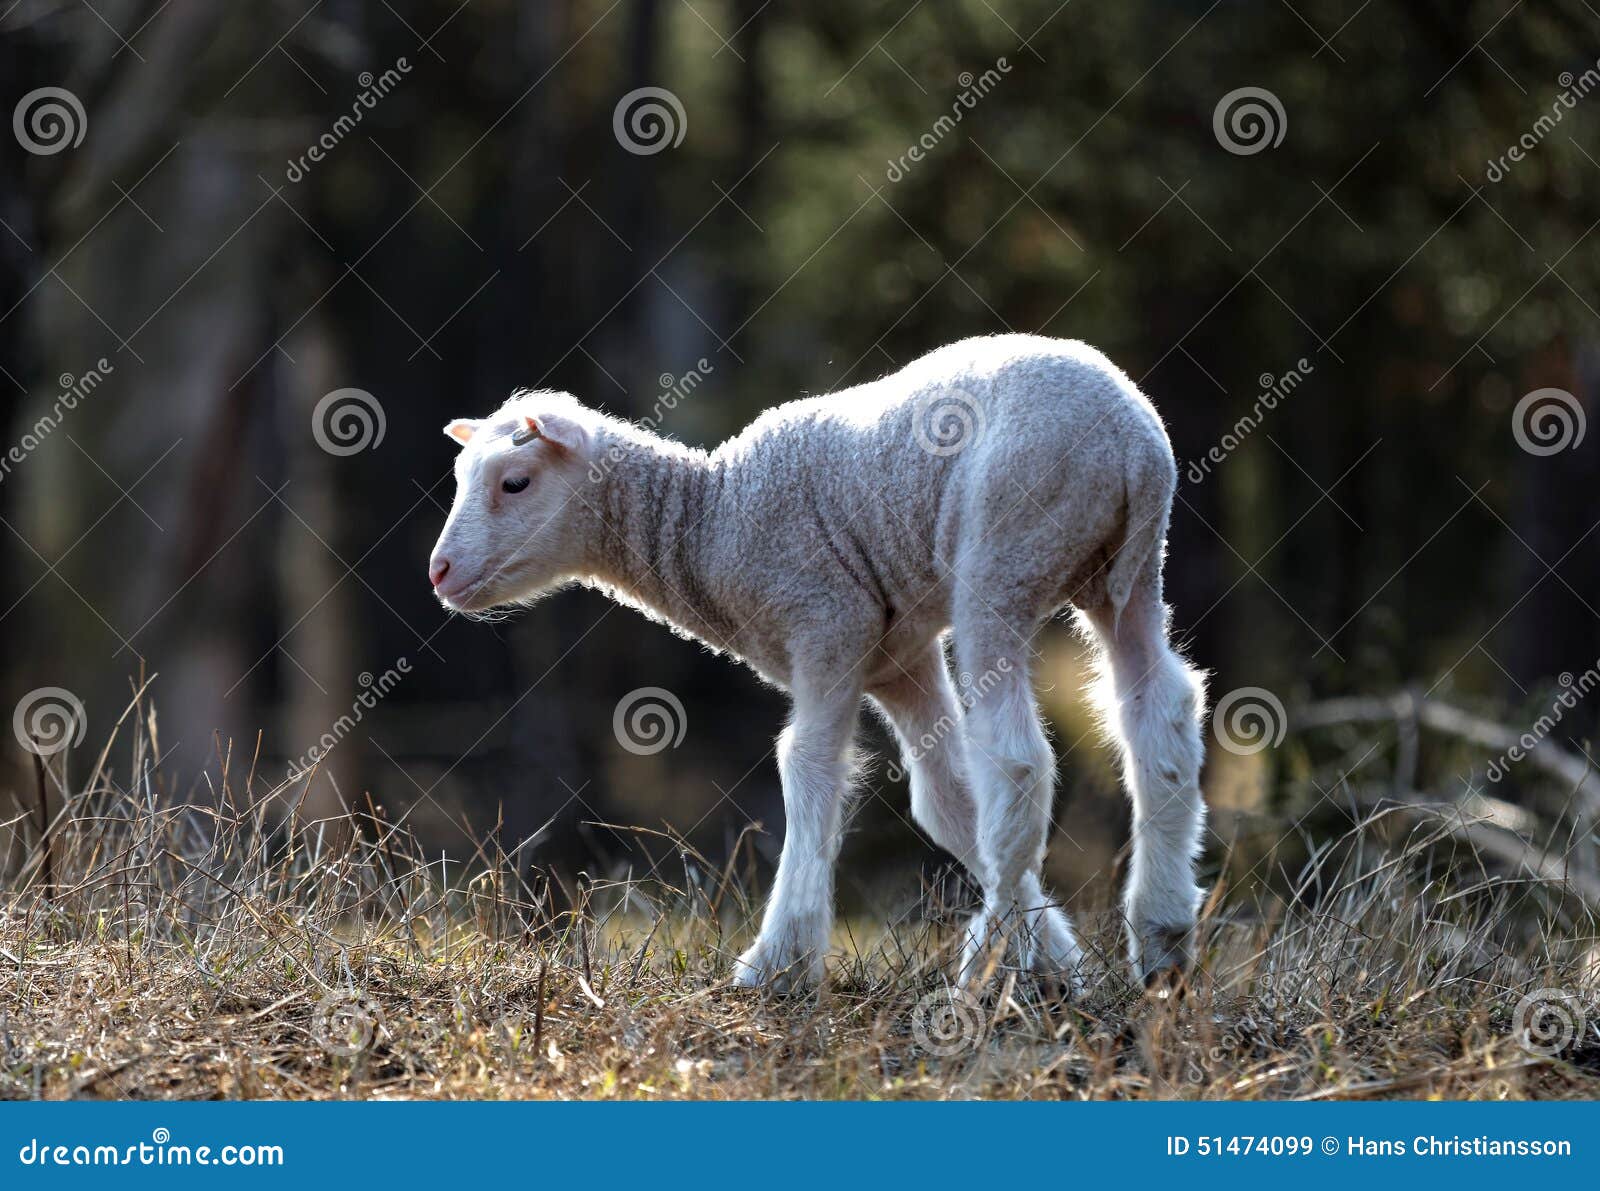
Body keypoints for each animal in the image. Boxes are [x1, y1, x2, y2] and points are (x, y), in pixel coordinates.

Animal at [429, 333, 1207, 992]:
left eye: (516, 483)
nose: (438, 573)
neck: (710, 522)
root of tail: (1134, 443)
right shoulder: (897, 656)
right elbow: (948, 799)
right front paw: (1055, 956)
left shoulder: (828, 620)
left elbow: (807, 768)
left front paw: (778, 961)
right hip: (1127, 572)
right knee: (1161, 718)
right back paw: (1161, 940)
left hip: (1007, 550)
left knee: (1018, 762)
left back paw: (979, 965)